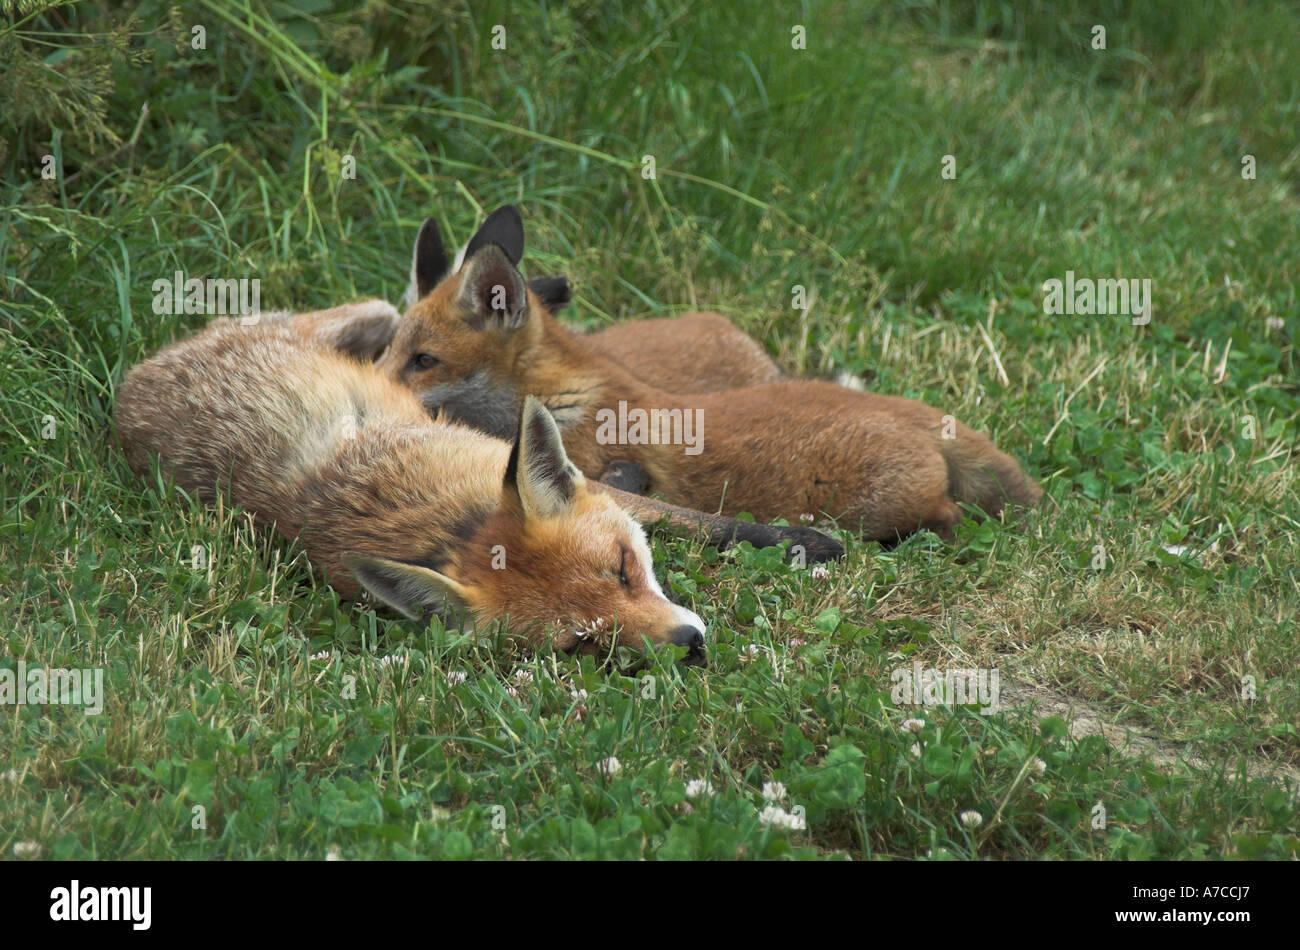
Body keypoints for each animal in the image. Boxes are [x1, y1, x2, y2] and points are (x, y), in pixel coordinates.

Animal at [376, 206, 1044, 541]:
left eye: (423, 361)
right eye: (388, 347)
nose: (367, 388)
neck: (565, 395)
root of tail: (916, 413)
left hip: (873, 506)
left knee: (947, 518)